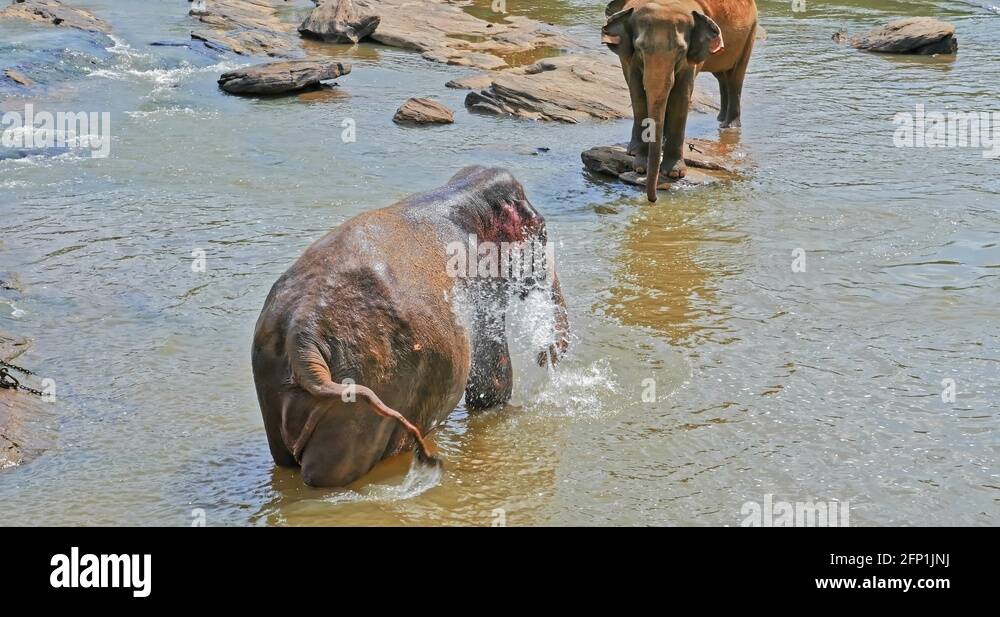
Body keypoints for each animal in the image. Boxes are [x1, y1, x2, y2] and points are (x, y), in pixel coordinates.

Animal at [251, 167, 570, 487]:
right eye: (542, 230)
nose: (546, 356)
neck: (459, 190)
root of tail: (303, 337)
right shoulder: (481, 288)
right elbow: (490, 382)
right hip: (367, 398)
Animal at [602, 0, 758, 201]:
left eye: (681, 51)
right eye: (640, 48)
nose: (653, 199)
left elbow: (681, 95)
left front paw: (674, 173)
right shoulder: (630, 57)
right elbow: (637, 93)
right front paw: (640, 167)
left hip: (750, 34)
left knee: (735, 77)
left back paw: (728, 125)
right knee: (722, 76)